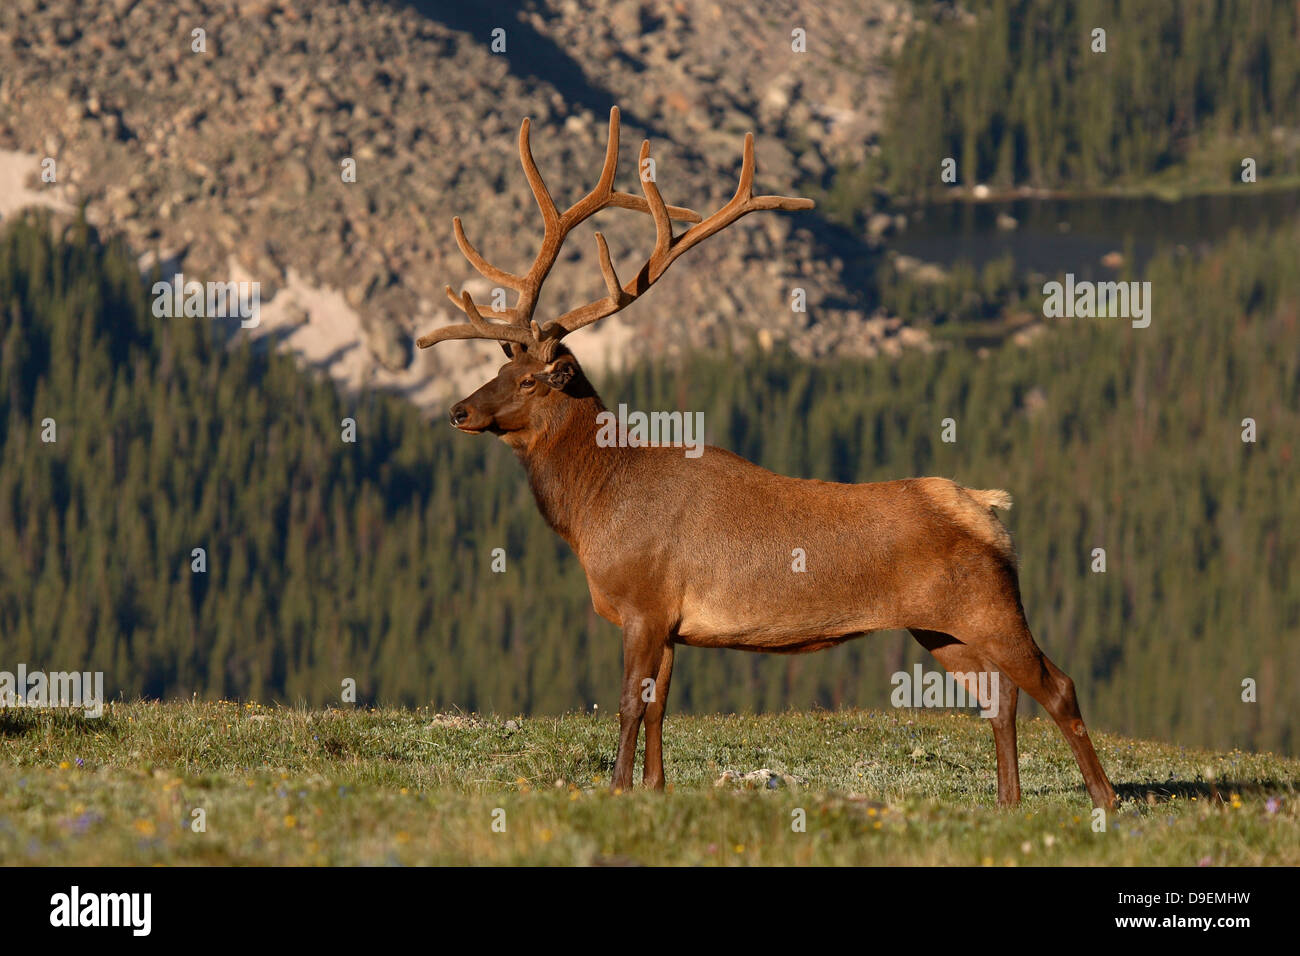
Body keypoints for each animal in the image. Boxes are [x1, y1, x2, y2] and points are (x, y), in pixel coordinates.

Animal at [417, 107, 1117, 809]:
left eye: (532, 379)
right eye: (498, 368)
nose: (458, 410)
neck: (593, 509)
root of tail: (987, 509)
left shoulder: (644, 605)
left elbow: (627, 704)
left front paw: (617, 788)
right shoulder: (671, 623)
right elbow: (659, 708)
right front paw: (655, 786)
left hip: (991, 608)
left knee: (1058, 684)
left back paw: (1103, 800)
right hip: (942, 628)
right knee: (1000, 698)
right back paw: (1009, 802)